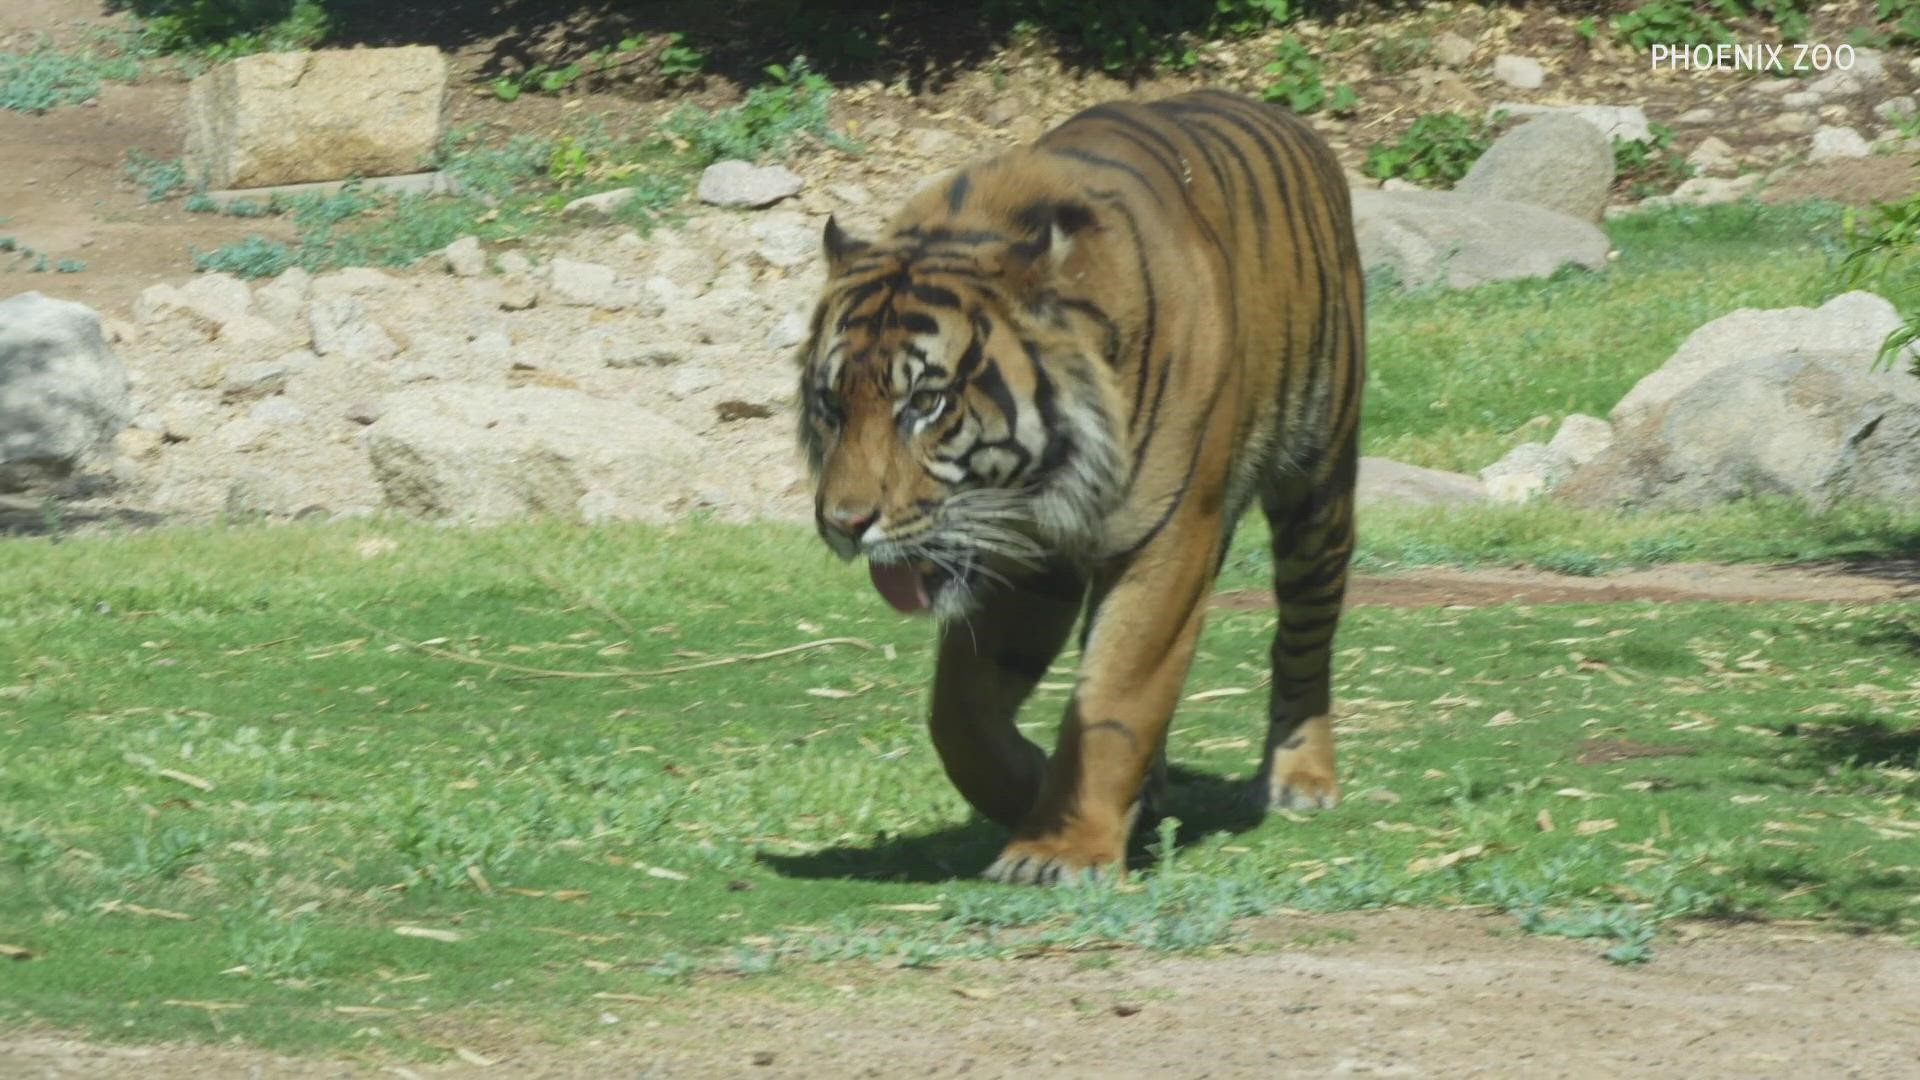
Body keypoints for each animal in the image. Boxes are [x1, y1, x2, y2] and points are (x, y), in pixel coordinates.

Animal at [795, 89, 1365, 885]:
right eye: (831, 404)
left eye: (926, 404)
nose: (844, 524)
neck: (1038, 484)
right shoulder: (1026, 562)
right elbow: (959, 714)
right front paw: (1034, 790)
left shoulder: (1168, 538)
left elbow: (1116, 696)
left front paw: (1058, 850)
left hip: (1318, 483)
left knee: (1305, 634)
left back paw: (1301, 777)